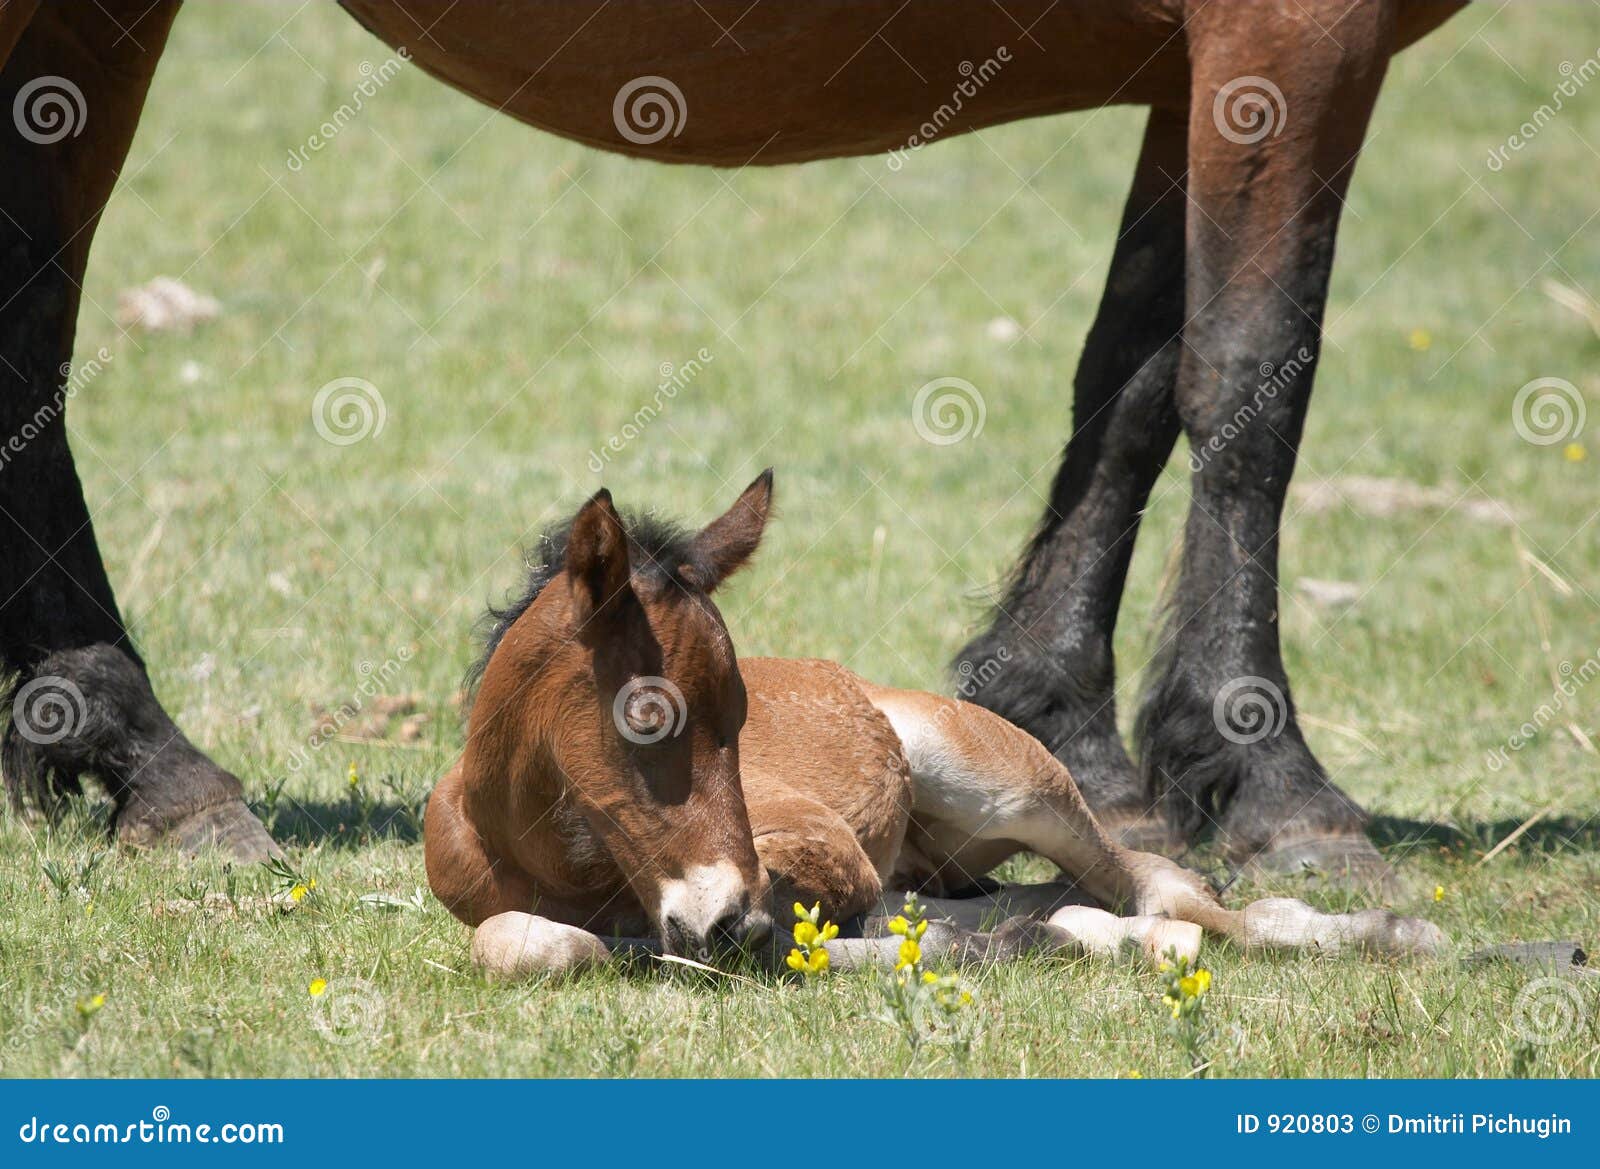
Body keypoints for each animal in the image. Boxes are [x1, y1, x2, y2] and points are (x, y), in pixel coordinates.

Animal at [1, 2, 1470, 877]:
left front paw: (1069, 720)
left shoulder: (1184, 67)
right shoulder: (1291, 34)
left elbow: (1134, 377)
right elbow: (1249, 377)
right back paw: (141, 749)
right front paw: (1269, 774)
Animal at [429, 472, 1446, 978]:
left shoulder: (817, 856)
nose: (722, 917)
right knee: (1032, 899)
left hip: (1011, 784)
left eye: (743, 716)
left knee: (1157, 880)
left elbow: (815, 934)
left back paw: (1378, 932)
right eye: (648, 714)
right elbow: (524, 942)